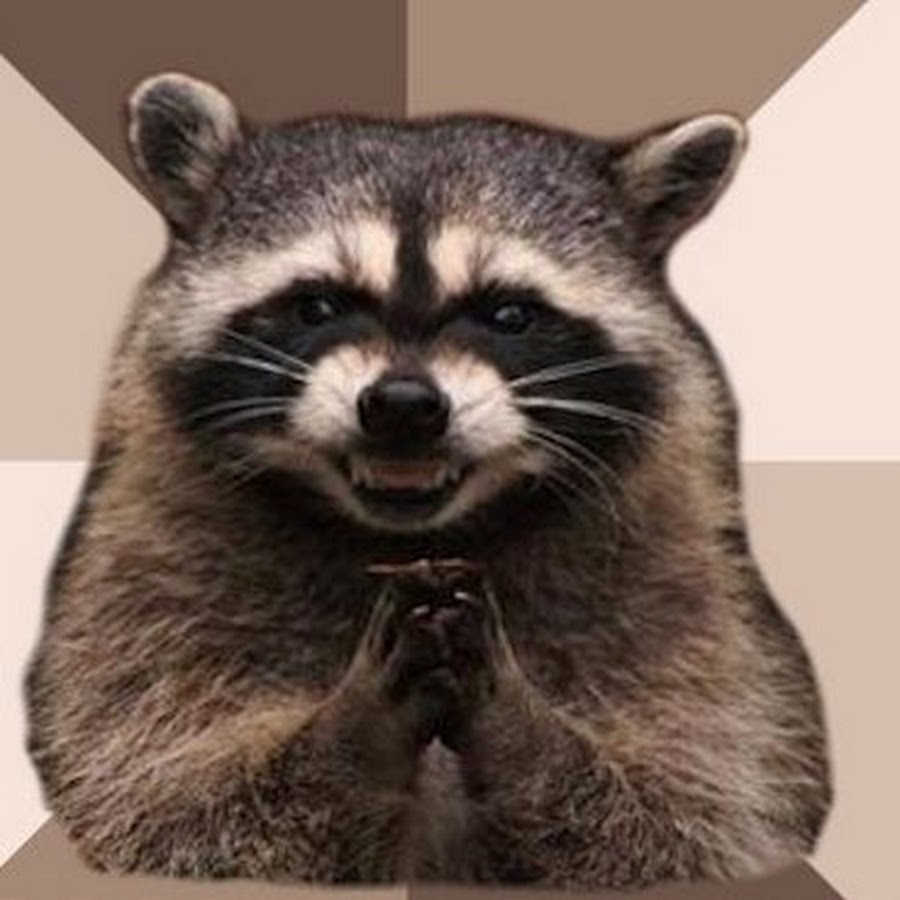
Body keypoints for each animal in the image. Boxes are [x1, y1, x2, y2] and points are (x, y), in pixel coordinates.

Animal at [24, 73, 831, 888]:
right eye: (317, 303)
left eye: (508, 313)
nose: (404, 405)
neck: (409, 536)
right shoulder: (149, 588)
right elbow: (171, 810)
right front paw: (349, 737)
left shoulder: (679, 604)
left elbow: (690, 817)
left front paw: (525, 732)